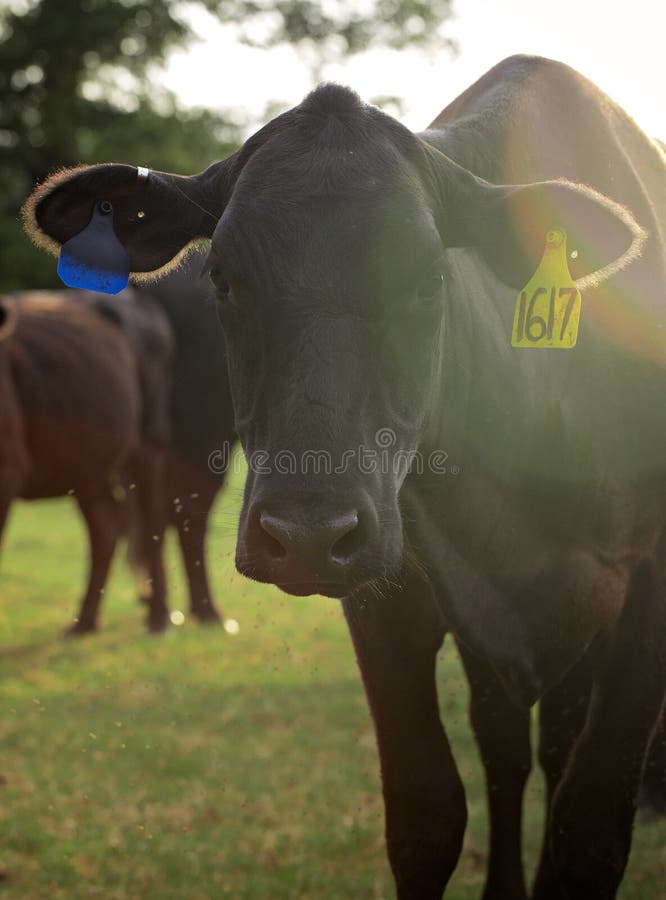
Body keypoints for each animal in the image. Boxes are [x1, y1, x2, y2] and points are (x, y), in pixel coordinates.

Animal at [0, 290, 173, 634]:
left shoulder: (7, 472)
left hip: (148, 441)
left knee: (151, 524)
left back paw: (158, 618)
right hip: (88, 464)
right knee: (106, 528)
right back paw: (85, 622)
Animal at [22, 55, 666, 899]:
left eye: (428, 277)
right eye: (221, 278)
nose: (303, 533)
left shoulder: (643, 600)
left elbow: (586, 829)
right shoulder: (387, 591)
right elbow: (426, 816)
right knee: (506, 746)